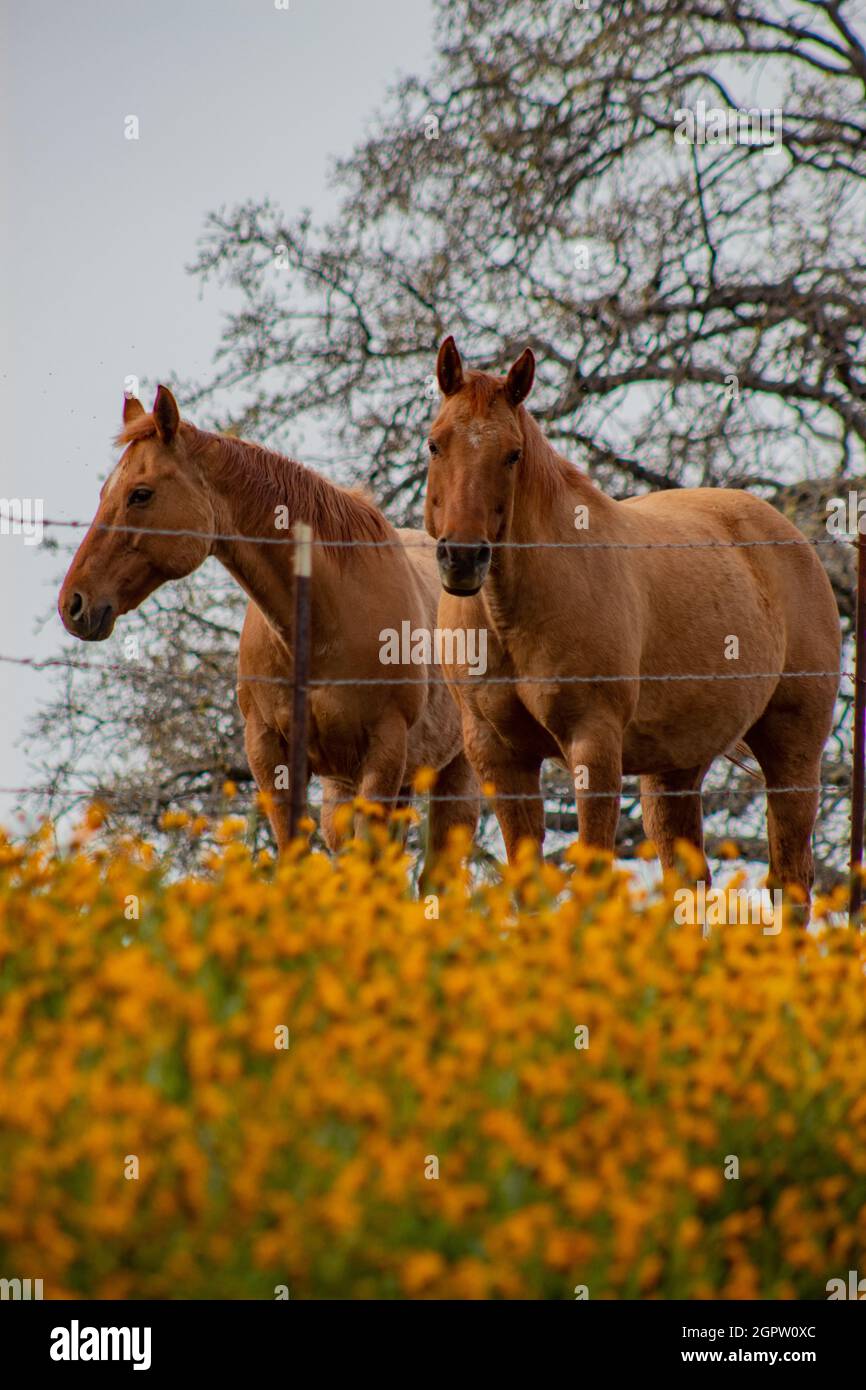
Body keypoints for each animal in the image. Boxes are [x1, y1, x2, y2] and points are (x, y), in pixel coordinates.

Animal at [59, 386, 479, 864]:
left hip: (452, 777)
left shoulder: (384, 754)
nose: (73, 603)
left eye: (140, 494)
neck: (323, 624)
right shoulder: (270, 754)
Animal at [423, 337, 841, 908]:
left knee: (792, 877)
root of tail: (792, 539)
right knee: (687, 879)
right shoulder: (498, 755)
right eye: (434, 445)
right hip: (675, 767)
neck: (511, 617)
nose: (463, 558)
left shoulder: (594, 744)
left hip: (793, 749)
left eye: (512, 454)